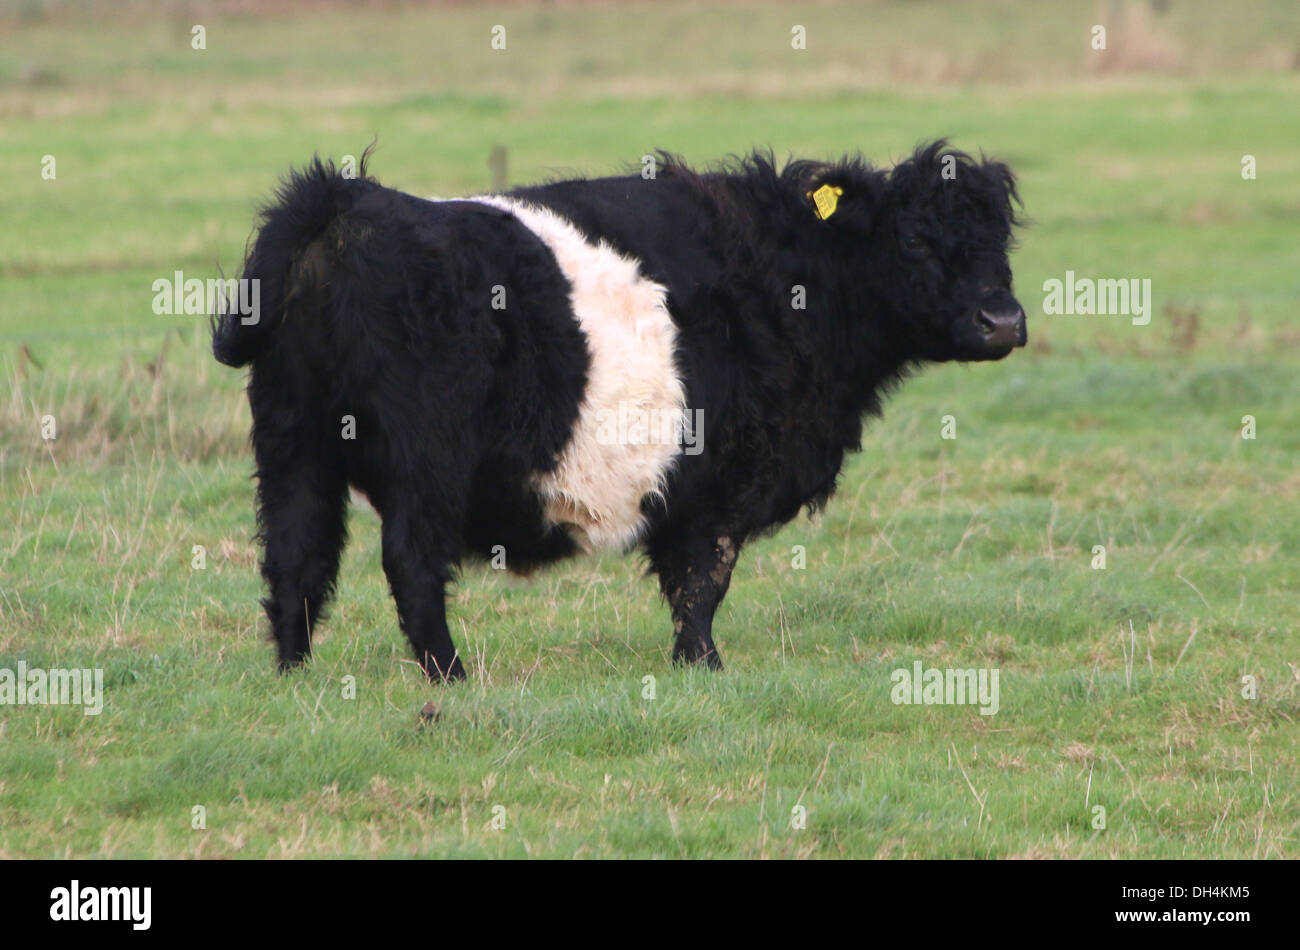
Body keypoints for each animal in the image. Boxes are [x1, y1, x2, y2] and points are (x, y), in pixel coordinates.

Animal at [212, 141, 1025, 682]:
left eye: (1002, 242)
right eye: (914, 239)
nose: (1004, 320)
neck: (789, 277)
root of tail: (344, 203)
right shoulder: (718, 488)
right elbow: (702, 583)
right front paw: (705, 668)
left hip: (293, 445)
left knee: (296, 557)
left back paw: (295, 675)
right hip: (424, 461)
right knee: (409, 563)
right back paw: (452, 676)